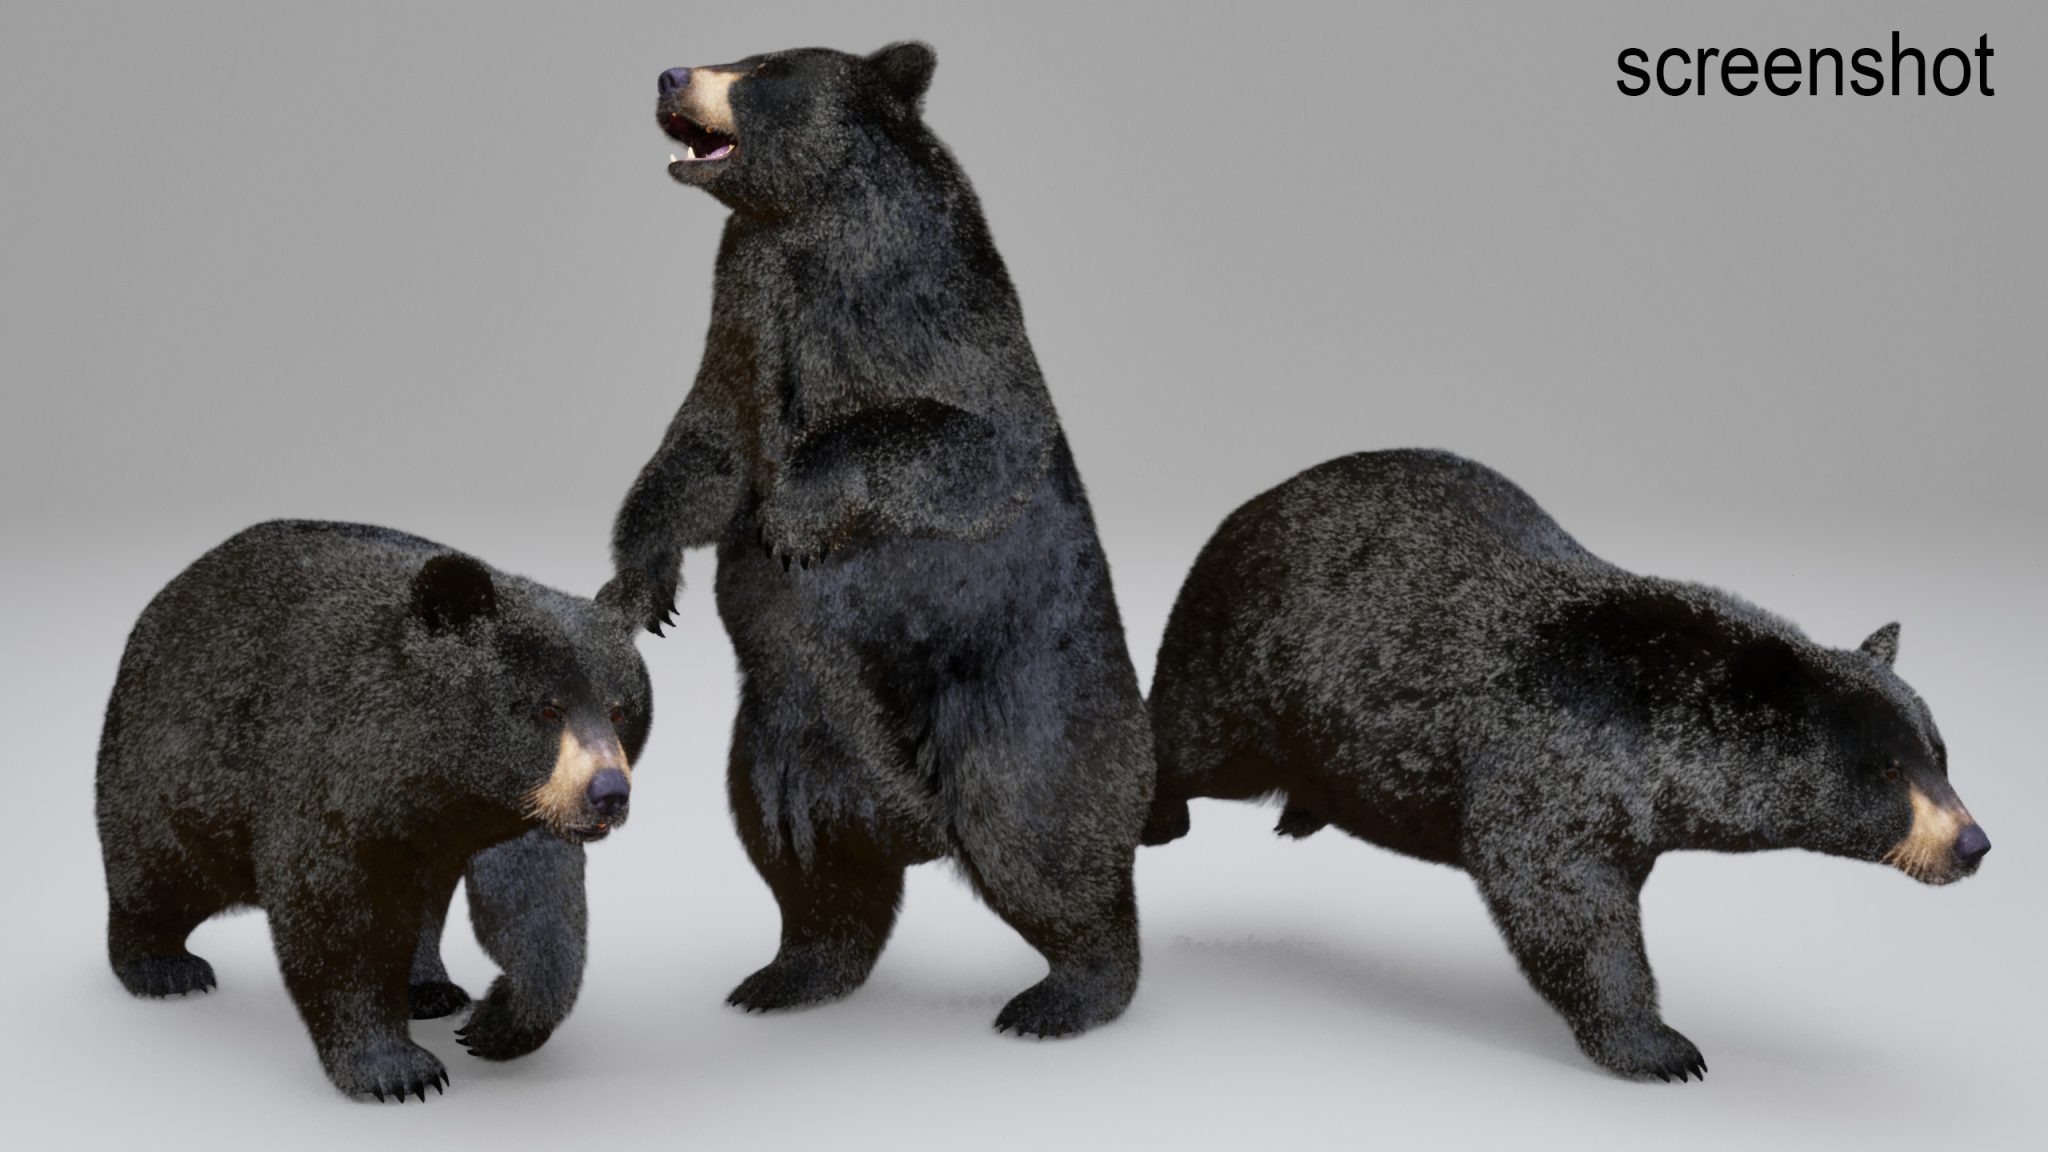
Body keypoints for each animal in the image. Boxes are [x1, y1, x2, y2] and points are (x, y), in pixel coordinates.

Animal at [96, 520, 652, 1100]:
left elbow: (536, 903)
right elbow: (336, 910)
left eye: (620, 710)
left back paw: (427, 987)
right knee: (159, 869)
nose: (609, 792)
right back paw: (162, 966)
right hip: (169, 766)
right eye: (547, 708)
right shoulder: (328, 767)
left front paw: (498, 1021)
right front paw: (394, 1068)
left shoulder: (518, 804)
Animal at [605, 42, 1153, 1037]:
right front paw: (640, 586)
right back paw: (786, 975)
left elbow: (968, 435)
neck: (800, 222)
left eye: (761, 67)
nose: (668, 75)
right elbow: (705, 448)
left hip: (1030, 713)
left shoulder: (929, 310)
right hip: (781, 744)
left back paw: (1063, 995)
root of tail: (914, 823)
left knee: (1039, 833)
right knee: (812, 869)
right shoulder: (742, 316)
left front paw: (794, 519)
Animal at [1142, 449, 1991, 1081]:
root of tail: (1249, 509)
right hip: (1248, 669)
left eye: (1939, 755)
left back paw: (1307, 810)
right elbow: (1563, 900)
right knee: (1193, 738)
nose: (1973, 843)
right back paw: (1159, 809)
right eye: (1887, 772)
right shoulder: (1550, 767)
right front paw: (1659, 1047)